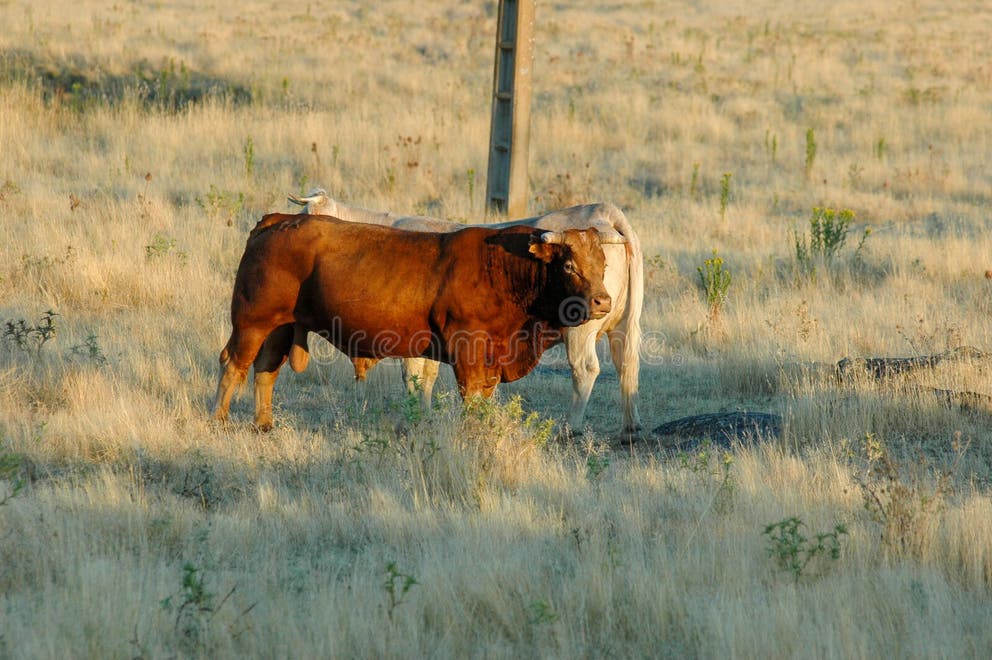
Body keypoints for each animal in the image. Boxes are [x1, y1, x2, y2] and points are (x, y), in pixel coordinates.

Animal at [212, 213, 622, 431]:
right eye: (569, 265)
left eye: (603, 264)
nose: (602, 301)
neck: (504, 270)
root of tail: (277, 220)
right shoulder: (468, 350)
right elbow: (471, 397)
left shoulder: (493, 357)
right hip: (251, 323)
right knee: (233, 364)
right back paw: (219, 418)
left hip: (279, 328)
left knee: (265, 369)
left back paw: (264, 425)